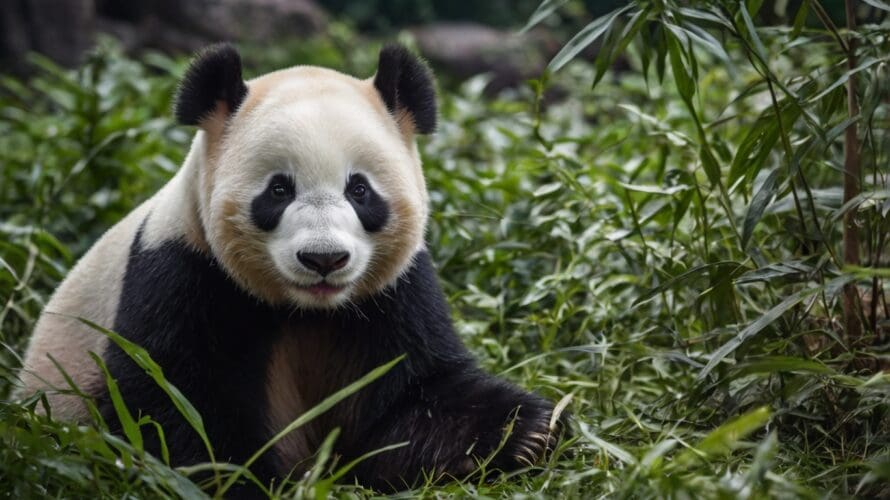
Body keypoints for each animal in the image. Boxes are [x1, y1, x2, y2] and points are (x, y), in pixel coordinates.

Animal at [18, 43, 557, 492]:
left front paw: (528, 433)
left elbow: (415, 395)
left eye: (359, 190)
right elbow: (173, 403)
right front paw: (244, 481)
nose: (324, 259)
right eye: (278, 190)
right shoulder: (182, 273)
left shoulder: (393, 292)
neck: (306, 310)